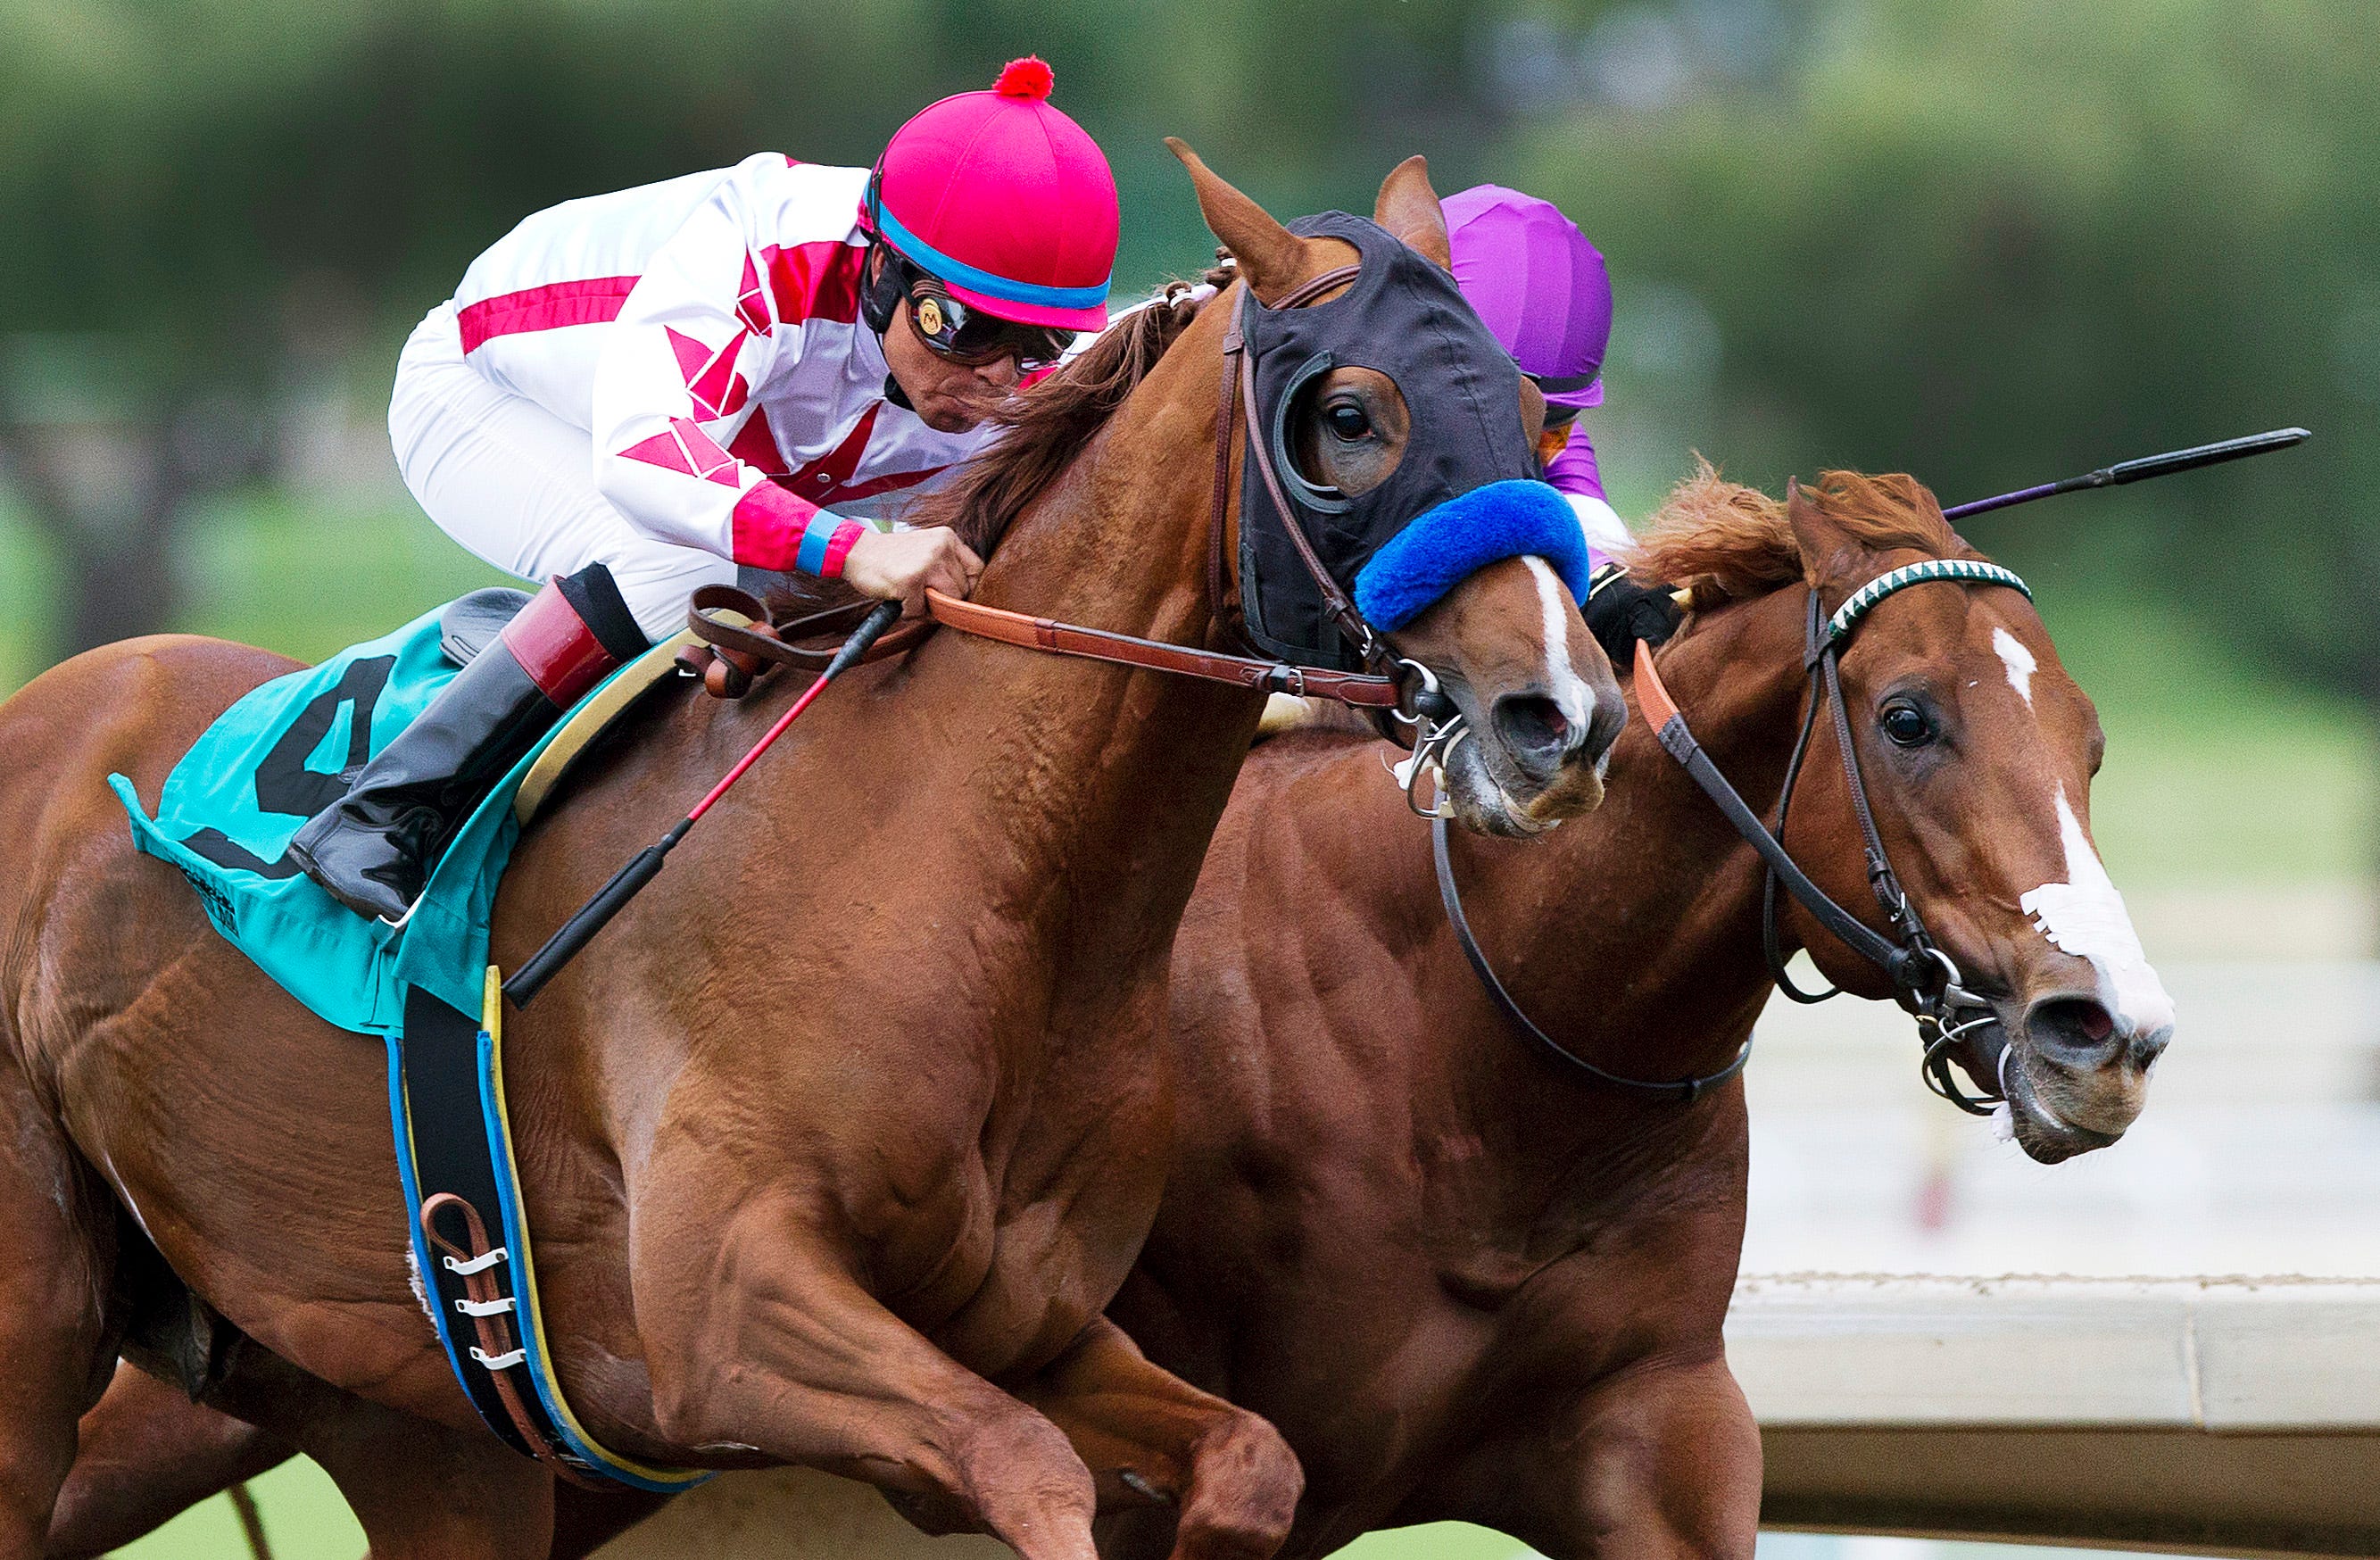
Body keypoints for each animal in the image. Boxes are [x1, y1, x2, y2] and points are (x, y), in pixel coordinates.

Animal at [0, 146, 1621, 1560]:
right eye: (1347, 413)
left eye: (1536, 421)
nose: (1563, 713)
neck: (955, 865)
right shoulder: (724, 1317)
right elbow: (1027, 1472)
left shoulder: (1029, 1323)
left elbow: (1248, 1459)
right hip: (45, 1342)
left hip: (401, 1404)